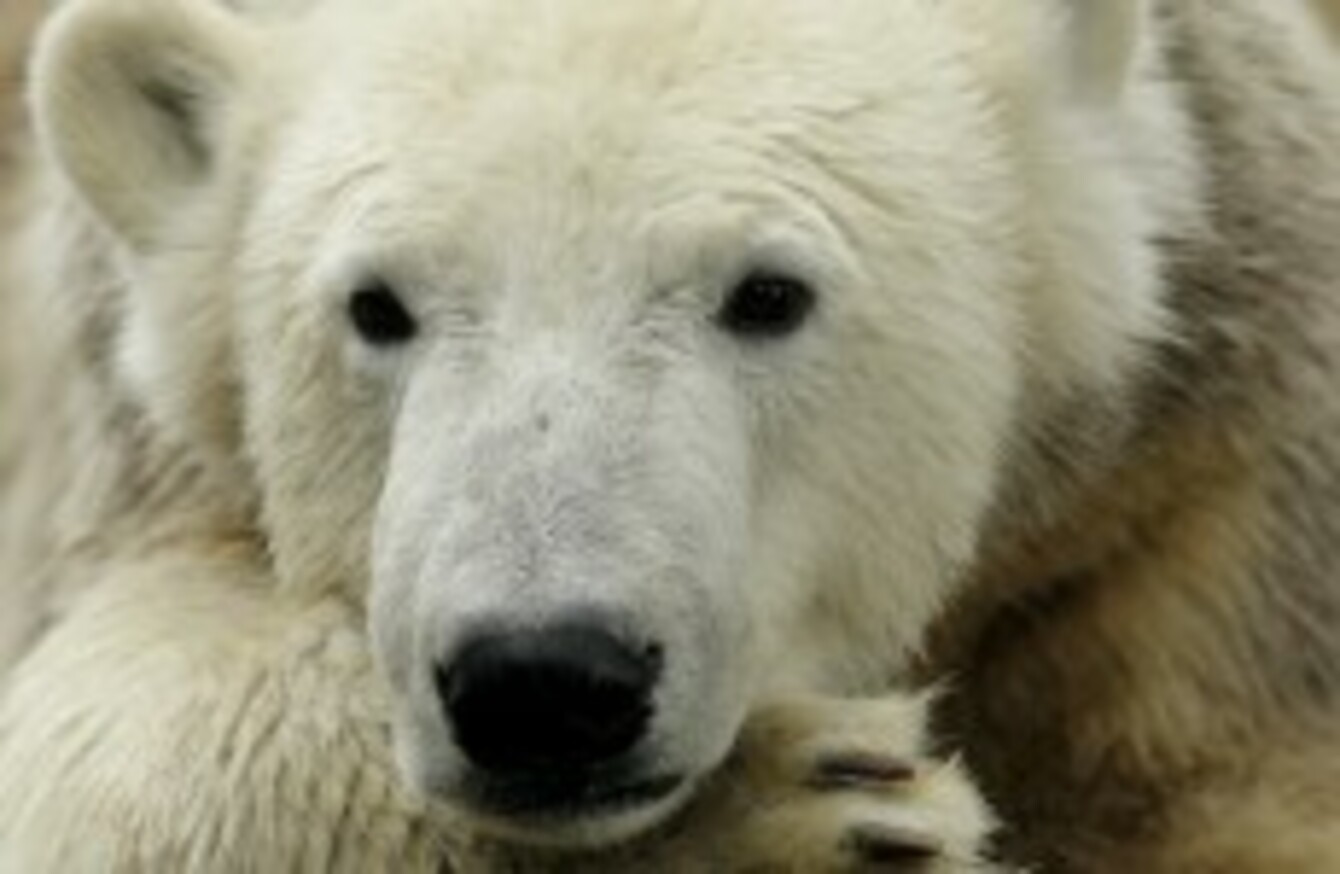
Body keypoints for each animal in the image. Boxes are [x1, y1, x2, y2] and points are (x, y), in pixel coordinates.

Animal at [1, 0, 1339, 871]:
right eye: (374, 306)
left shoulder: (1214, 490)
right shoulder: (133, 463)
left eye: (767, 292)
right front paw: (810, 796)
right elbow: (115, 746)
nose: (543, 678)